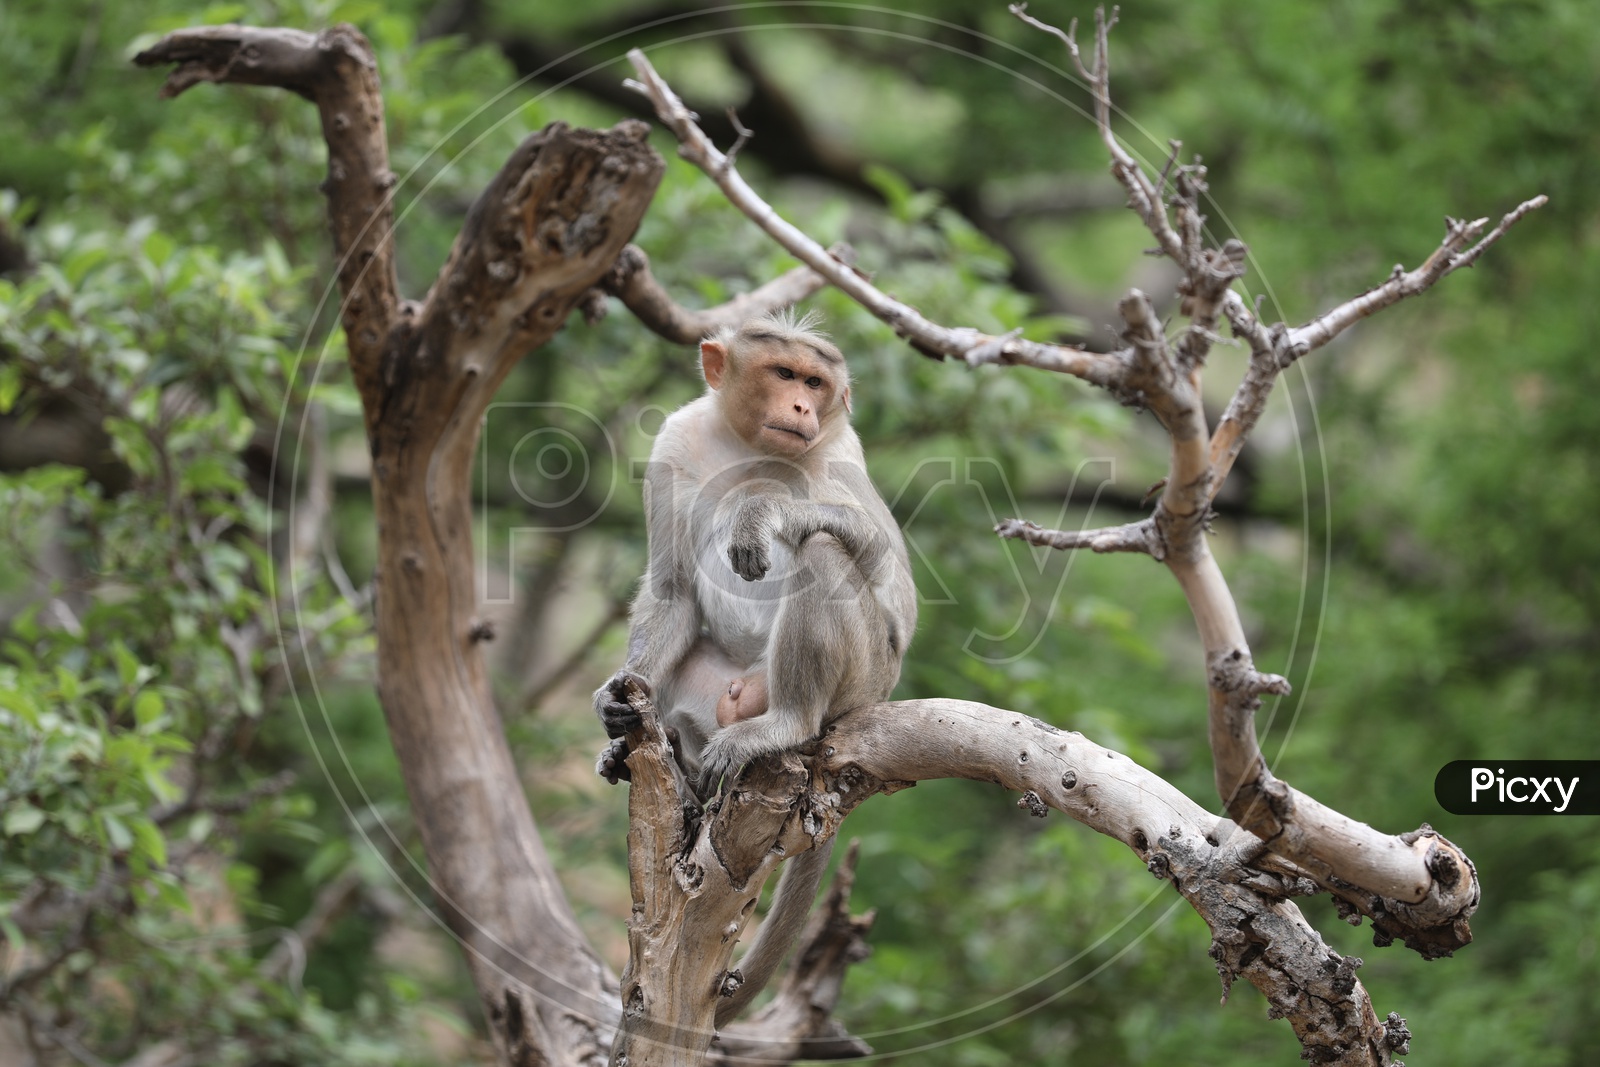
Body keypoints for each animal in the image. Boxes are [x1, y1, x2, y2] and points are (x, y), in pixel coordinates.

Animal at [593, 309, 916, 1024]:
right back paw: (656, 756)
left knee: (825, 549)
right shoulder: (674, 439)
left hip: (864, 674)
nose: (801, 406)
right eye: (783, 372)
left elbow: (892, 577)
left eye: (815, 382)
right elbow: (672, 589)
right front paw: (614, 702)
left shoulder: (841, 450)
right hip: (713, 690)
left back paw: (784, 724)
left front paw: (760, 511)